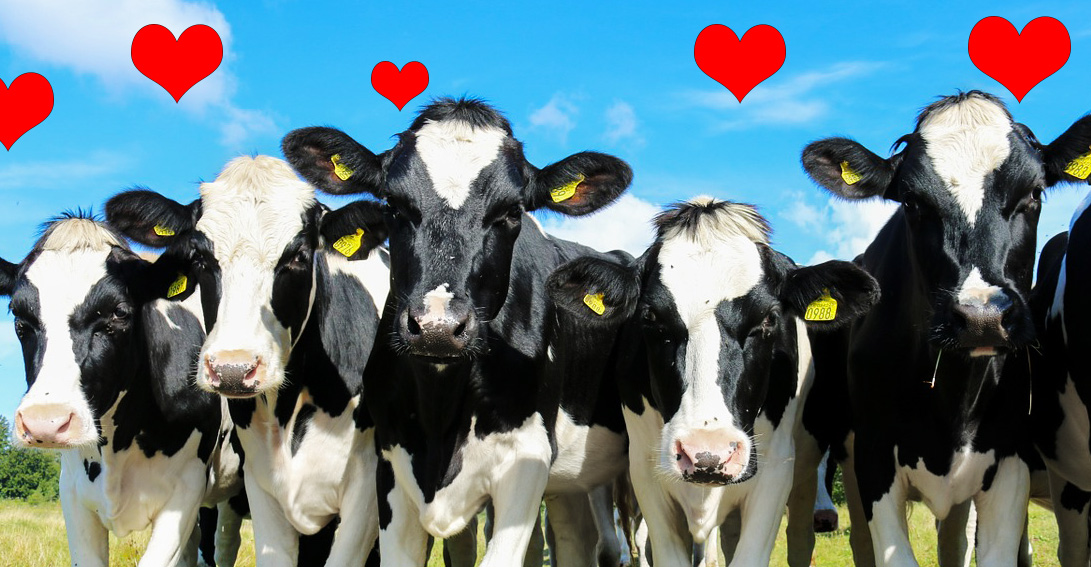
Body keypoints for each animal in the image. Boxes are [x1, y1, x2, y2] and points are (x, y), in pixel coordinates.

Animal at [280, 97, 633, 566]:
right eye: (393, 205)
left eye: (512, 212)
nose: (438, 328)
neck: (440, 415)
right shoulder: (390, 462)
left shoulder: (528, 458)